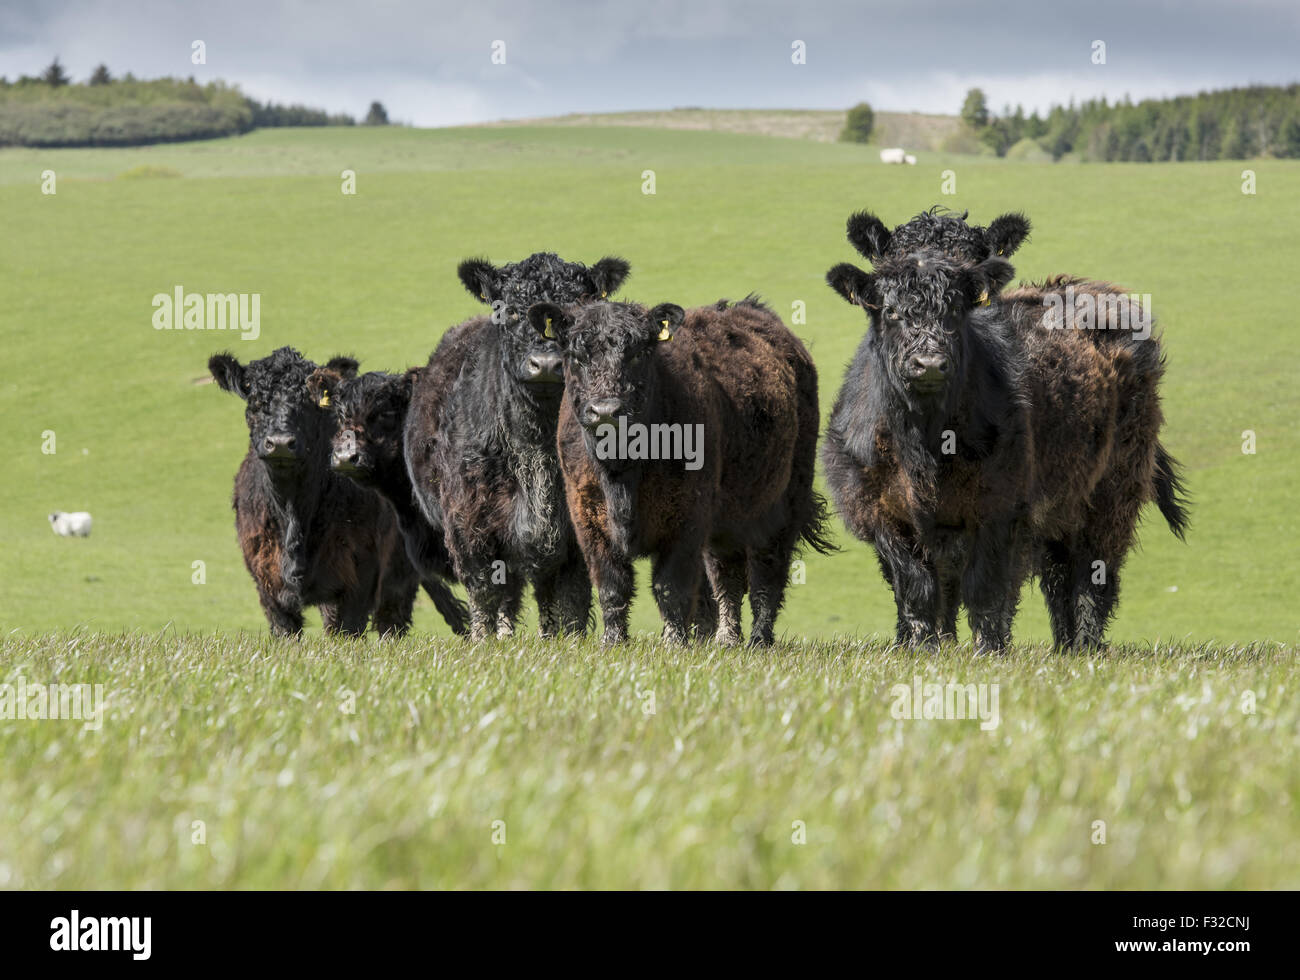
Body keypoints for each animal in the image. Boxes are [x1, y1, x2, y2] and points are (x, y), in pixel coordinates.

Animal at [208, 346, 425, 638]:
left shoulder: (357, 579)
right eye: (254, 396)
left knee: (391, 622)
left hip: (399, 574)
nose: (280, 443)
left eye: (309, 401)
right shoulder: (269, 588)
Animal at [403, 252, 631, 641]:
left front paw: (570, 642)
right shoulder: (470, 523)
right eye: (509, 311)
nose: (547, 364)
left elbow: (572, 599)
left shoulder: (575, 526)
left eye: (578, 307)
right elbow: (483, 592)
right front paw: (483, 642)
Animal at [527, 296, 834, 647]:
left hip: (784, 501)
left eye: (639, 352)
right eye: (576, 355)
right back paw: (727, 639)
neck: (622, 470)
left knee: (767, 573)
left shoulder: (688, 515)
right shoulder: (586, 515)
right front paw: (613, 641)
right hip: (726, 519)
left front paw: (674, 643)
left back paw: (759, 639)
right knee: (727, 576)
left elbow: (670, 587)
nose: (606, 410)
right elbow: (611, 584)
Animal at [822, 246, 1187, 652]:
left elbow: (986, 588)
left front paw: (989, 649)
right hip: (1062, 505)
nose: (928, 364)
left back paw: (1086, 645)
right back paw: (1064, 647)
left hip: (1113, 490)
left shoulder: (1001, 509)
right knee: (1057, 576)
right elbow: (917, 587)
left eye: (956, 310)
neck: (926, 446)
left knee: (1094, 572)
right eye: (890, 311)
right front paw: (923, 647)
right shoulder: (881, 510)